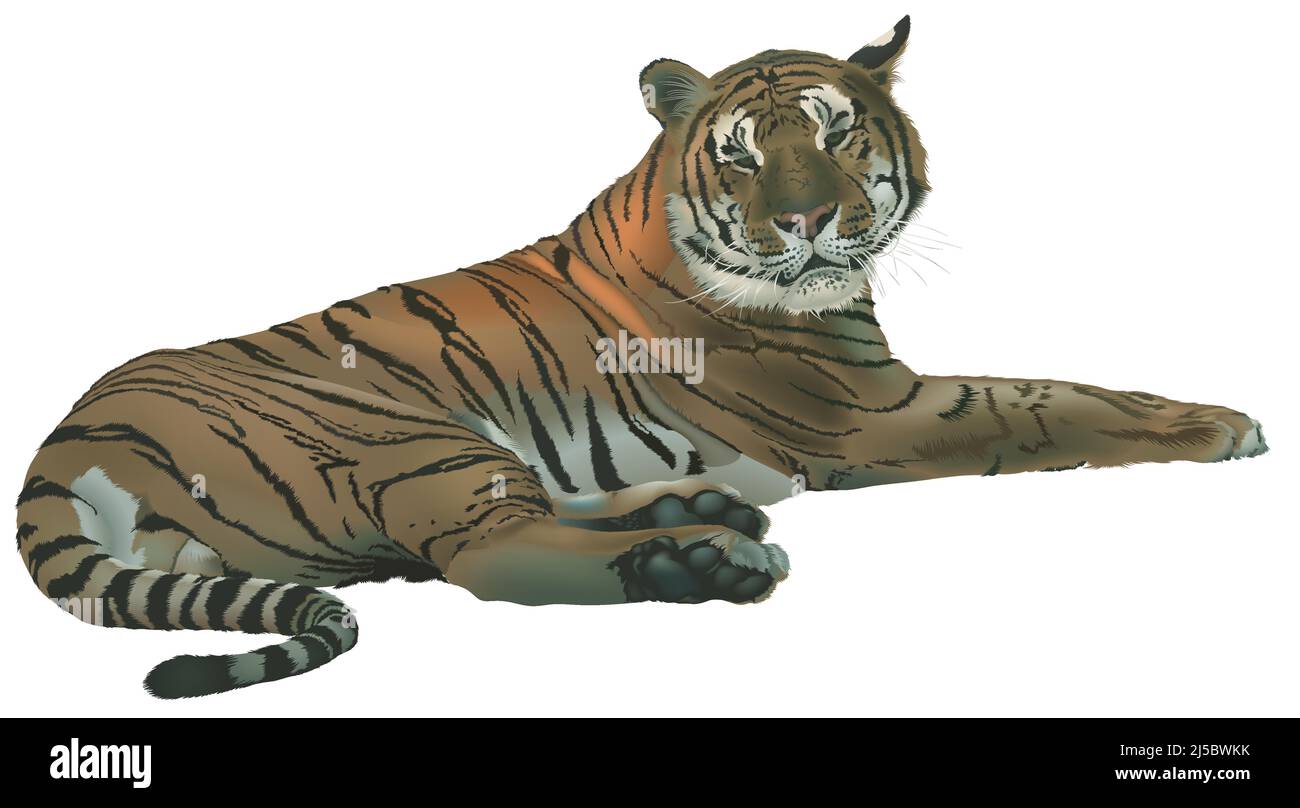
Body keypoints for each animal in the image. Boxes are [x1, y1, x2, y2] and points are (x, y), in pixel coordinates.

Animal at [16, 16, 1267, 698]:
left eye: (838, 131)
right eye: (745, 155)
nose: (807, 222)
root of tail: (67, 436)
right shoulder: (874, 413)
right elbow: (1055, 400)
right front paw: (1221, 423)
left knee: (458, 546)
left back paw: (693, 518)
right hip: (407, 433)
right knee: (484, 557)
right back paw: (704, 561)